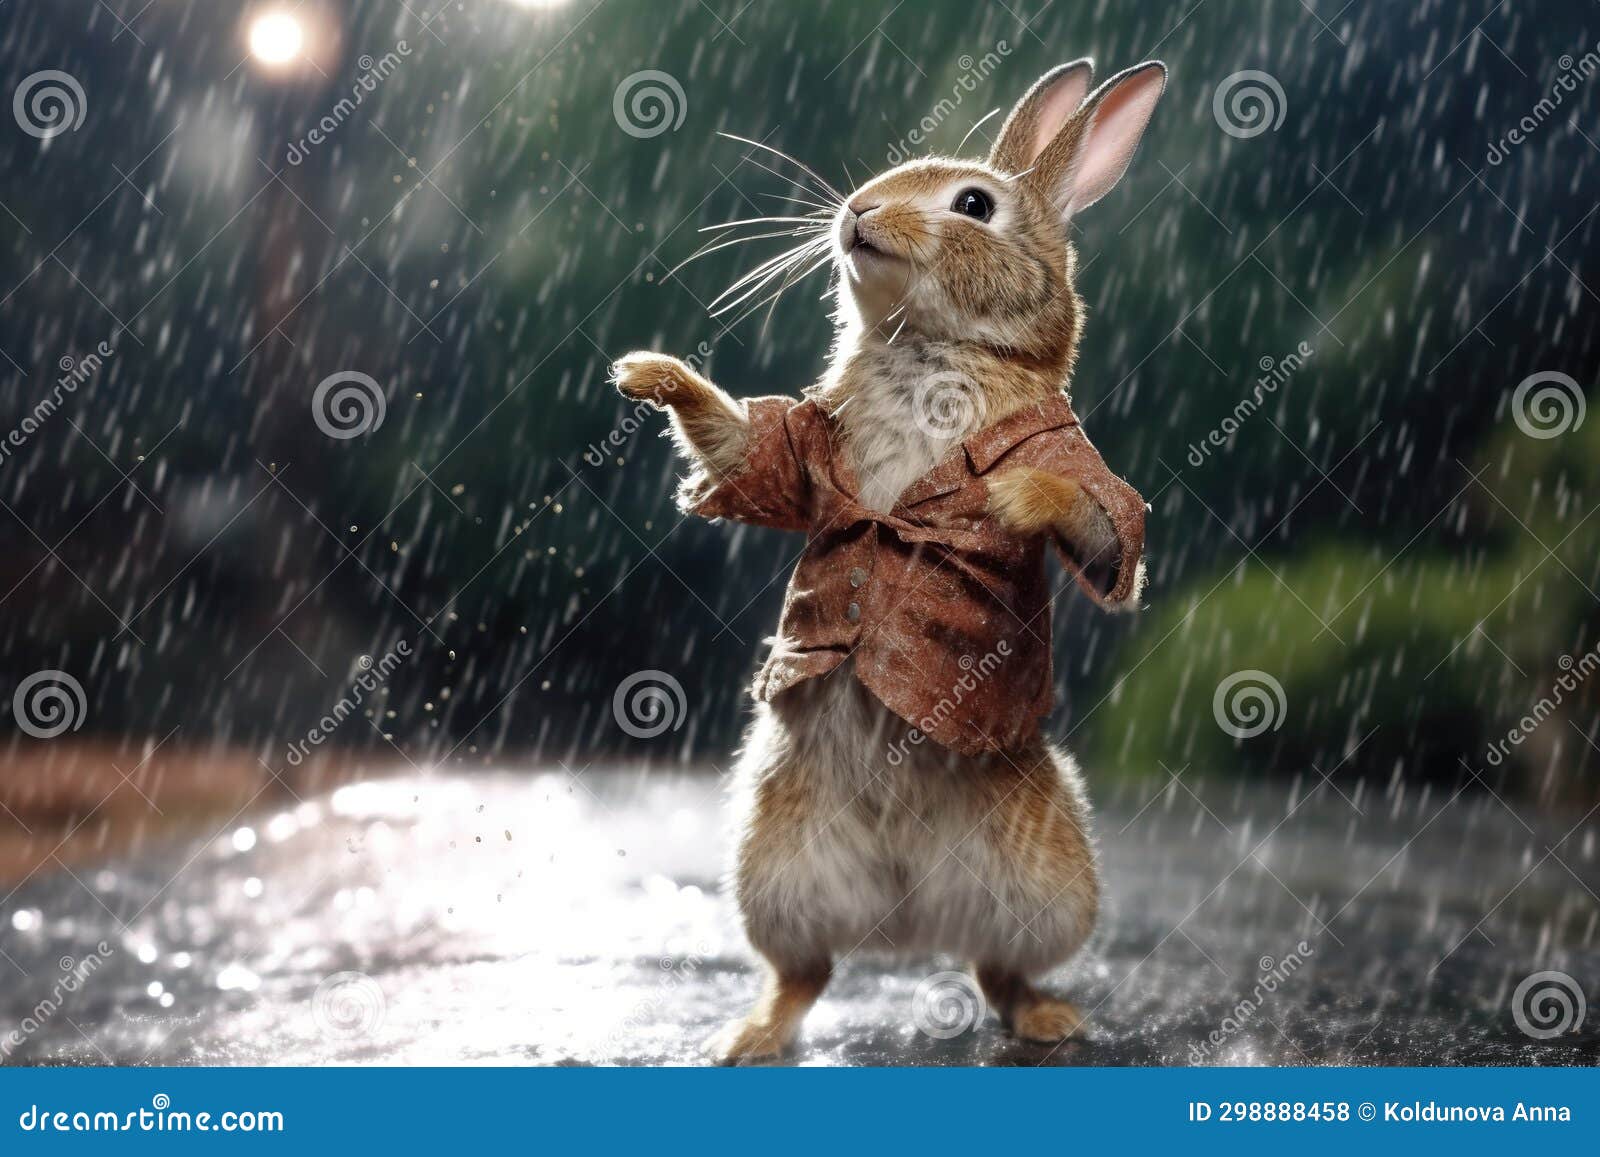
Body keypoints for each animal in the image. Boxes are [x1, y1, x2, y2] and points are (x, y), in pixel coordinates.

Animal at [612, 58, 1164, 1062]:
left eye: (974, 203)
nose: (856, 210)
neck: (931, 344)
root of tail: (906, 924)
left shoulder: (1076, 463)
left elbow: (1102, 519)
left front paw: (1011, 498)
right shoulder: (802, 451)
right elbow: (751, 449)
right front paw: (648, 373)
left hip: (1047, 886)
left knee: (1000, 969)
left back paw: (1051, 1019)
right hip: (776, 869)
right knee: (806, 972)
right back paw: (752, 1035)